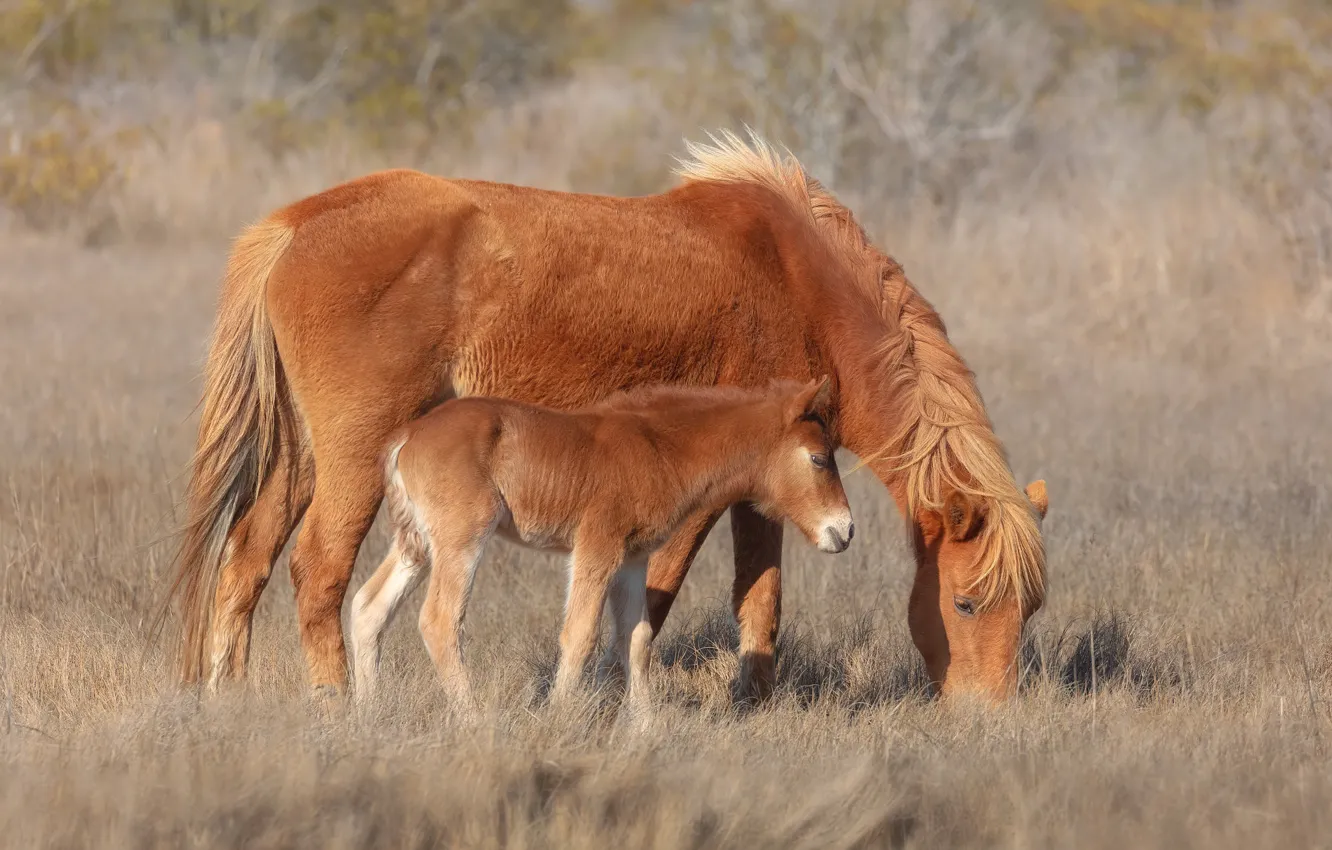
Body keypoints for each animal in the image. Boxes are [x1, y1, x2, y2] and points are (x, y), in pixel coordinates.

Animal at [349, 377, 853, 716]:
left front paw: (646, 729)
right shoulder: (597, 546)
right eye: (818, 458)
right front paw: (559, 719)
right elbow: (580, 634)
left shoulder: (633, 558)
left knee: (369, 605)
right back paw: (471, 719)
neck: (658, 445)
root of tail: (406, 437)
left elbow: (637, 636)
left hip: (416, 544)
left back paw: (369, 712)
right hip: (461, 538)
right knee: (440, 619)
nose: (845, 530)